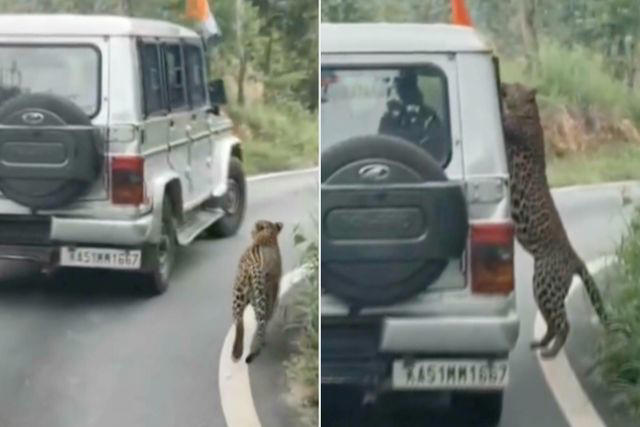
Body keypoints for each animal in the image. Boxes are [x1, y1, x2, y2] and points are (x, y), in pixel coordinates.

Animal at [231, 219, 283, 364]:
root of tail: (254, 266)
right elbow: (270, 306)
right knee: (259, 321)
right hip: (256, 292)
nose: (253, 228)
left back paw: (238, 352)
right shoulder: (273, 284)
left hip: (239, 292)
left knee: (239, 319)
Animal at [501, 82, 608, 359]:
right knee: (551, 320)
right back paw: (541, 343)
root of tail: (575, 257)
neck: (530, 113)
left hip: (547, 282)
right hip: (540, 285)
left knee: (564, 322)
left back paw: (551, 351)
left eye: (515, 86)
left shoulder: (512, 129)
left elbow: (504, 119)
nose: (505, 85)